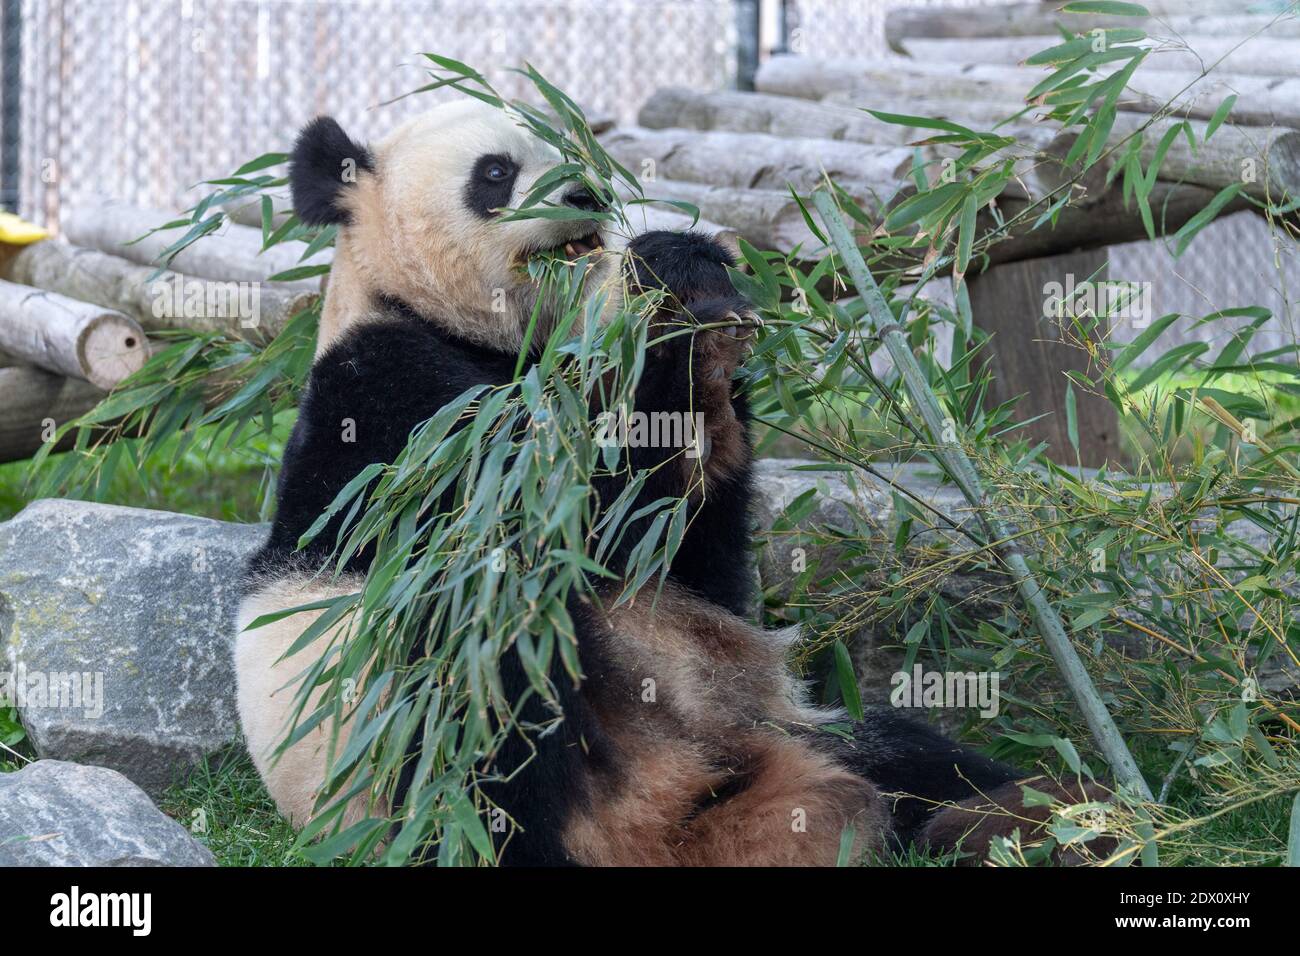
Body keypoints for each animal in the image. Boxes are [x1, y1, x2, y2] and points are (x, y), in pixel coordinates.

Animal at [235, 99, 1108, 866]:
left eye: (578, 151)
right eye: (496, 172)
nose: (586, 195)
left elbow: (685, 556)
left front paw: (699, 293)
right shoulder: (393, 401)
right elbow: (575, 515)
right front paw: (668, 298)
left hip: (775, 728)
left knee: (904, 757)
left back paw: (1041, 818)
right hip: (401, 756)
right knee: (482, 665)